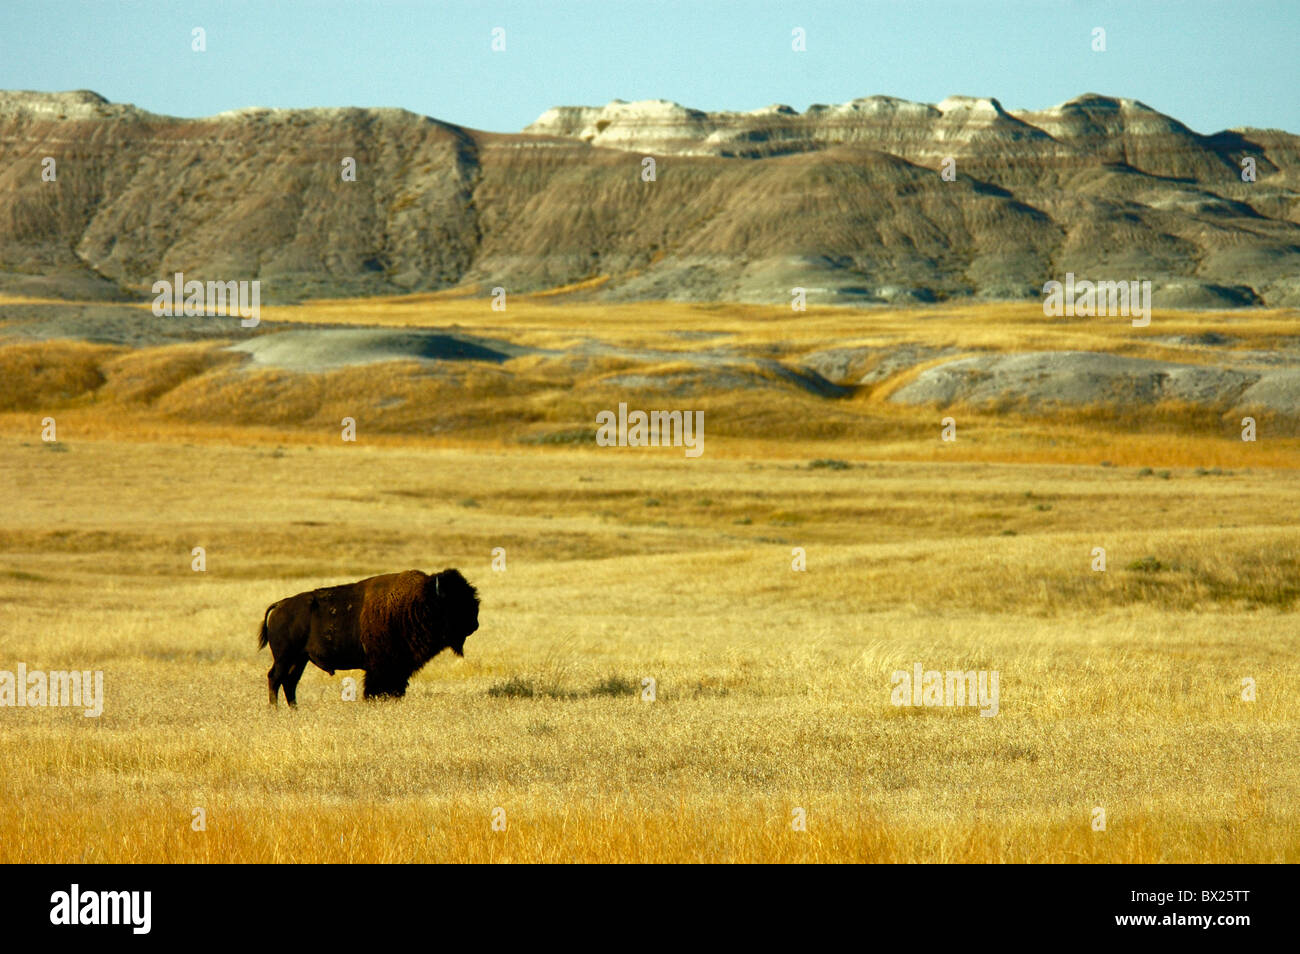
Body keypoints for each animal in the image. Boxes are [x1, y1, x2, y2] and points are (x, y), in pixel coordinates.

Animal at [257, 568, 479, 705]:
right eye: (456, 603)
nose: (474, 624)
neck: (417, 603)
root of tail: (279, 605)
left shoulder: (399, 669)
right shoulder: (381, 667)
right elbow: (376, 687)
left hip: (300, 659)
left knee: (290, 682)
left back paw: (294, 709)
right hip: (285, 657)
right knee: (275, 678)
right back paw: (274, 710)